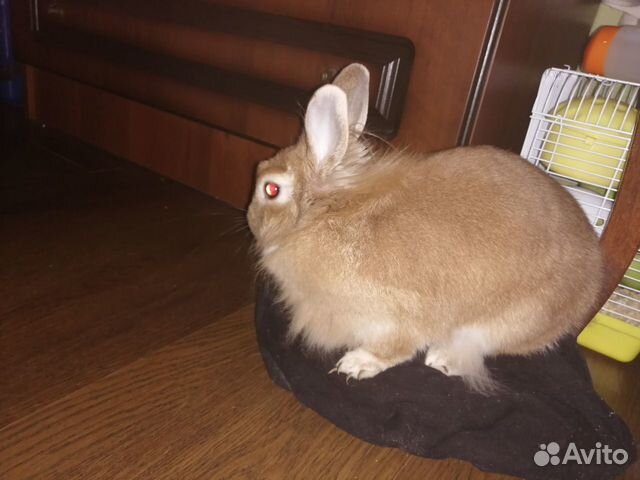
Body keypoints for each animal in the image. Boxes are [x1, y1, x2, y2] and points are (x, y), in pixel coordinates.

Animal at [247, 63, 604, 394]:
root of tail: (590, 285)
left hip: (506, 320)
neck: (328, 215)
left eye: (270, 190)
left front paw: (357, 364)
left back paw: (443, 359)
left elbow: (397, 348)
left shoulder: (399, 316)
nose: (249, 217)